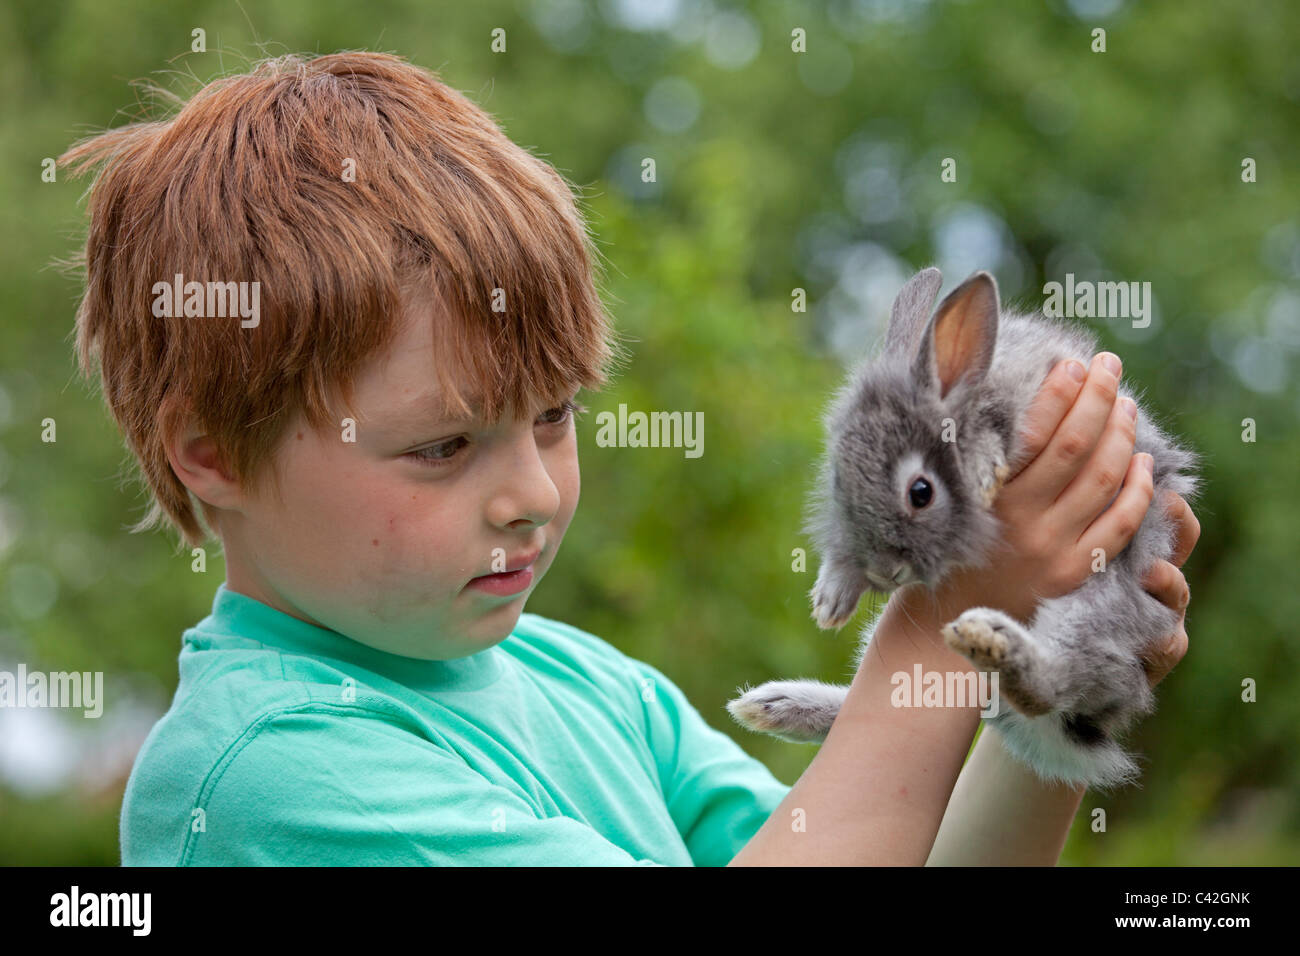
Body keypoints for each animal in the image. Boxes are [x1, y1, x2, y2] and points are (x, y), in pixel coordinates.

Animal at [727, 266, 1199, 791]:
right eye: (838, 480)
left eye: (921, 492)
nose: (887, 572)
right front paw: (831, 600)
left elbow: (990, 423)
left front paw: (981, 469)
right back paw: (776, 706)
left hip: (1107, 604)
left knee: (1055, 682)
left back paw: (994, 643)